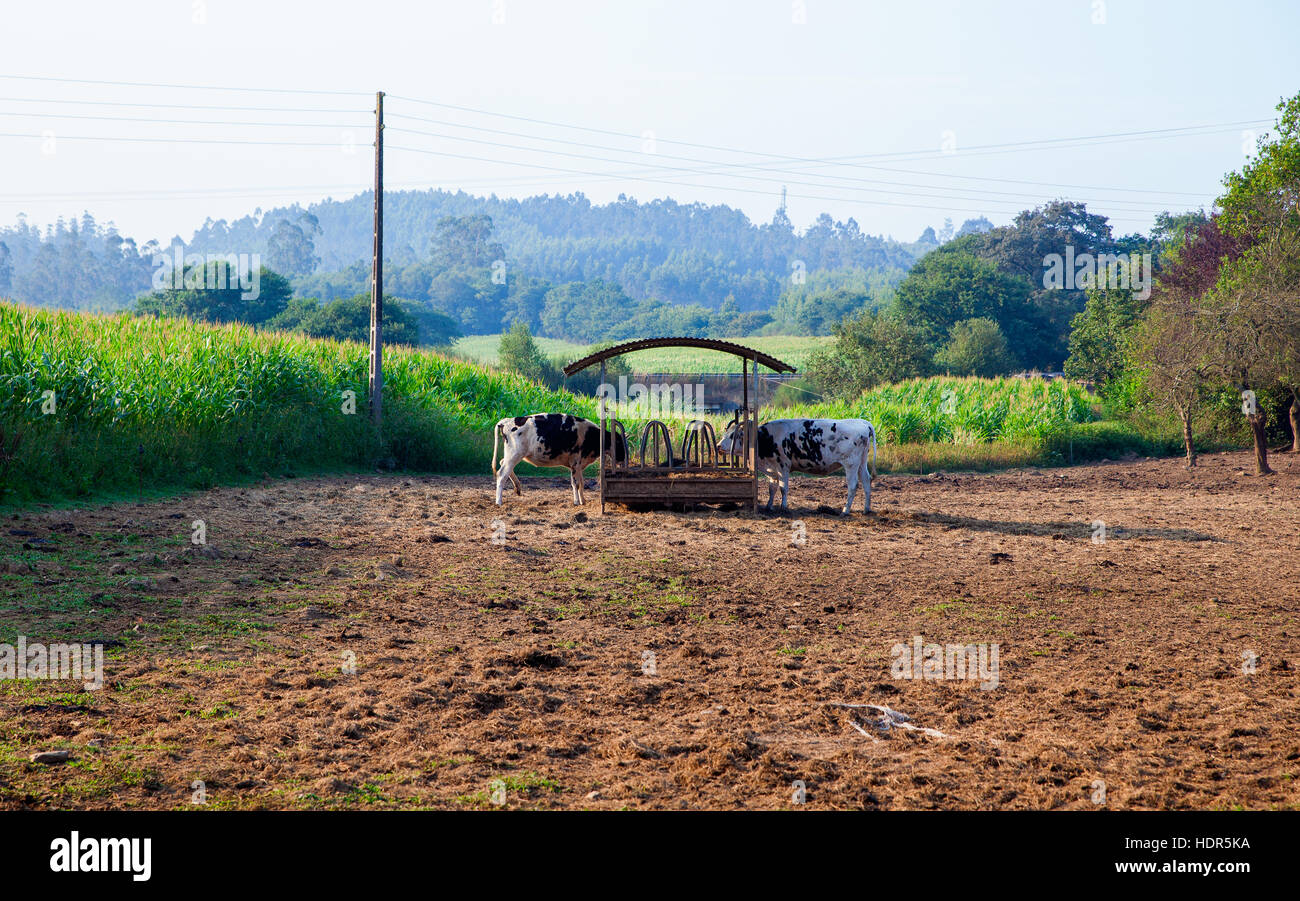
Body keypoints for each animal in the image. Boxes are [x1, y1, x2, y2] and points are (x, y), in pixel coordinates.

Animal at [492, 413, 627, 506]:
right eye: (619, 442)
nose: (623, 458)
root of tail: (507, 421)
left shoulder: (578, 465)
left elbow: (581, 482)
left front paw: (583, 500)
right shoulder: (575, 462)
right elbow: (576, 483)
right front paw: (577, 501)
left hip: (513, 454)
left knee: (502, 463)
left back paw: (518, 488)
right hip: (514, 453)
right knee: (502, 473)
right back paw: (499, 501)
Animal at [716, 418, 878, 515]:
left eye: (732, 436)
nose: (718, 446)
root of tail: (863, 422)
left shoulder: (783, 466)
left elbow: (783, 488)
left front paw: (783, 507)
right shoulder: (772, 468)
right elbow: (772, 488)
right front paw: (769, 506)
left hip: (851, 464)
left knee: (853, 485)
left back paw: (845, 510)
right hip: (861, 463)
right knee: (866, 481)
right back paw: (866, 509)